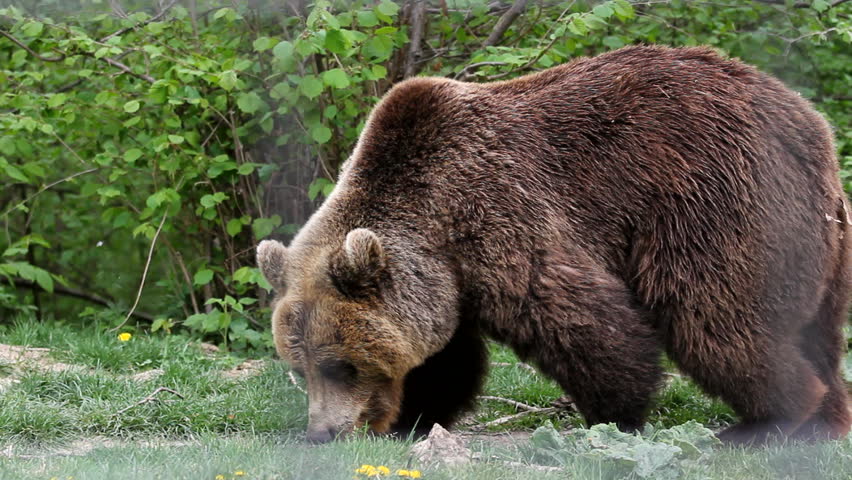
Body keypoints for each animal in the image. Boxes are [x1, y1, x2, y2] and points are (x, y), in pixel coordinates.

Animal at [256, 45, 852, 445]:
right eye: (299, 368)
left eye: (341, 366)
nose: (321, 432)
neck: (433, 225)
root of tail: (809, 123)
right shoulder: (445, 281)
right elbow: (445, 357)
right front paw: (413, 417)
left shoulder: (499, 216)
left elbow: (582, 319)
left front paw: (616, 413)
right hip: (820, 237)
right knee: (814, 330)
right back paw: (825, 419)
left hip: (717, 202)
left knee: (714, 316)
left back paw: (766, 421)